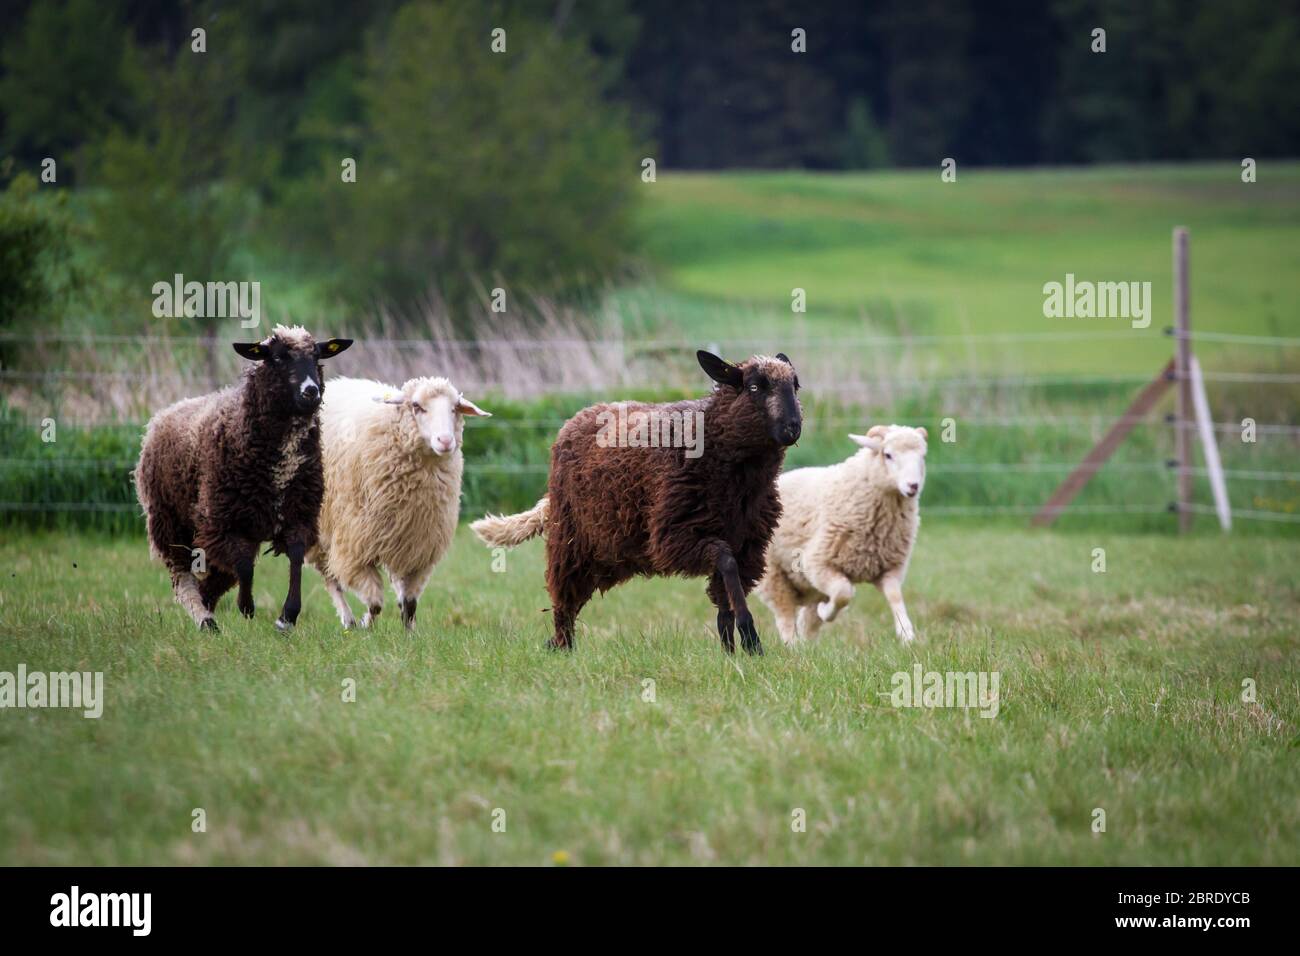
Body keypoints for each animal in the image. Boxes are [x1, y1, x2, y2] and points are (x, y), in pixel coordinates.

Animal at [135, 325, 353, 630]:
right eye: (277, 357)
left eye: (317, 355)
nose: (311, 391)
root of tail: (160, 417)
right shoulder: (223, 522)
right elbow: (245, 566)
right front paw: (246, 607)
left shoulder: (298, 514)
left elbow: (295, 558)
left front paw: (287, 617)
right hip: (169, 520)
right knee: (183, 575)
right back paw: (204, 620)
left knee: (217, 577)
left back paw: (208, 611)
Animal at [306, 376, 492, 630]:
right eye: (416, 406)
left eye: (455, 408)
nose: (445, 441)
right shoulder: (352, 547)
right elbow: (375, 602)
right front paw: (366, 624)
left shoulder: (418, 550)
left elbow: (410, 602)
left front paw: (409, 631)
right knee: (329, 578)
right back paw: (348, 619)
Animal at [471, 351, 802, 654]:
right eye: (755, 387)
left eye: (795, 385)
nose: (793, 427)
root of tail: (580, 416)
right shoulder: (673, 537)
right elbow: (725, 561)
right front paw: (750, 639)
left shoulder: (748, 543)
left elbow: (726, 589)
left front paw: (732, 649)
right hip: (570, 538)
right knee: (563, 600)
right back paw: (563, 646)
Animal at [757, 424, 928, 645]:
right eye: (888, 455)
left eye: (922, 456)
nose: (913, 486)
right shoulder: (816, 562)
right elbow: (843, 593)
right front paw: (827, 612)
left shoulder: (889, 567)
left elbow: (895, 596)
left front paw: (906, 635)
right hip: (773, 573)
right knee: (785, 615)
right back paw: (794, 646)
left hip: (809, 585)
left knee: (807, 619)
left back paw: (808, 644)